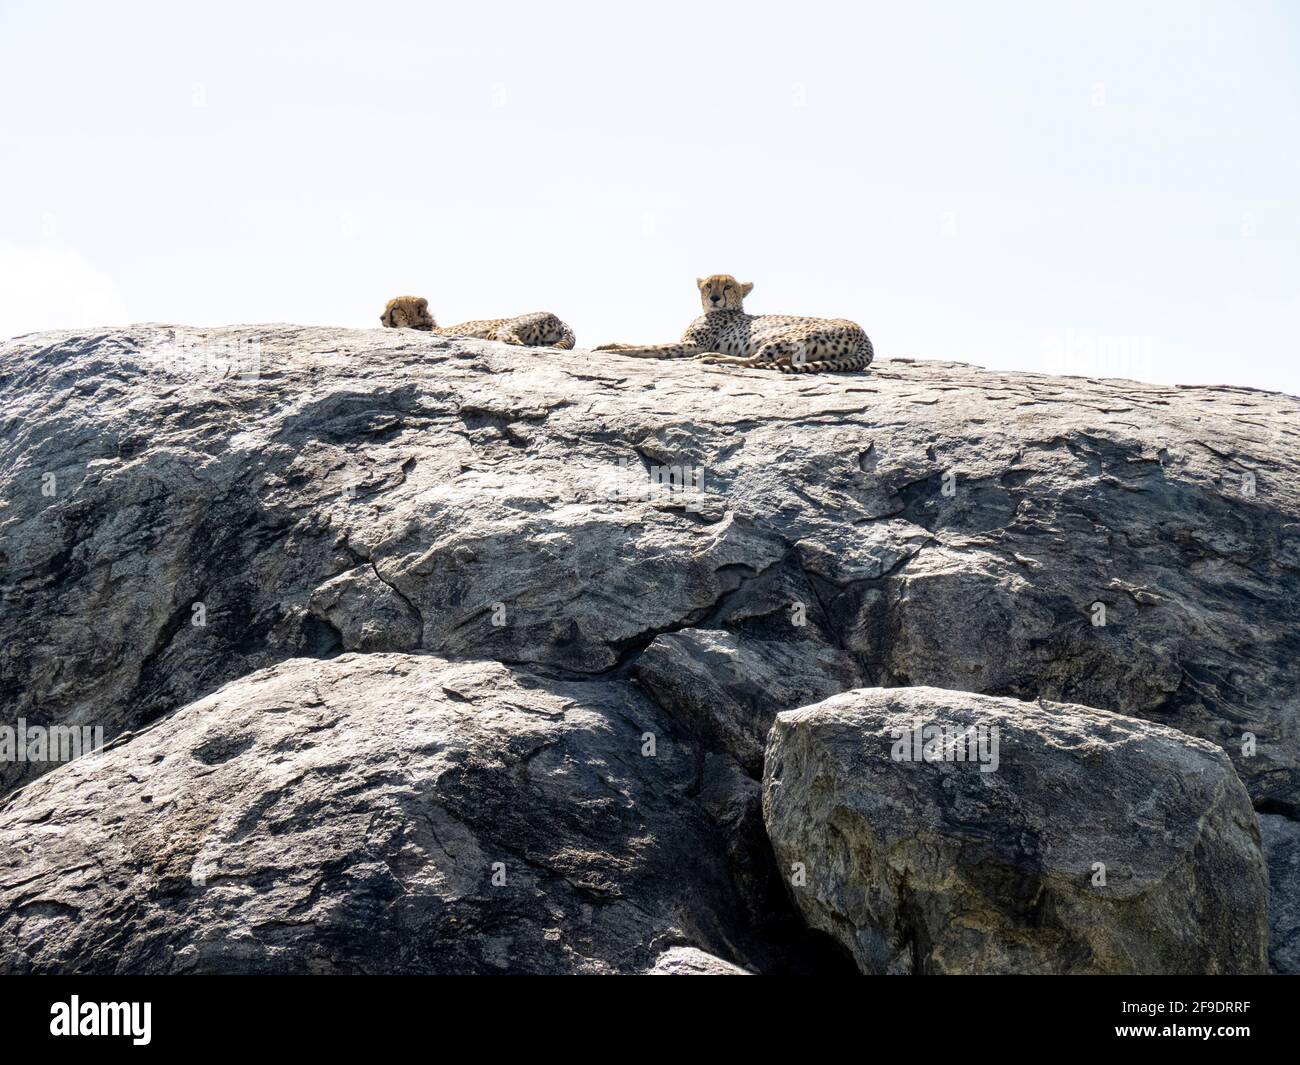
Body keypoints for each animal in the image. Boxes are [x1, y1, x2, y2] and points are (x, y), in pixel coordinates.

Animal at [593, 275, 872, 373]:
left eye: (728, 286)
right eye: (709, 285)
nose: (715, 298)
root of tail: (863, 334)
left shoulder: (691, 345)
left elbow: (648, 348)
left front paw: (613, 351)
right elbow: (637, 342)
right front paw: (606, 345)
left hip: (787, 337)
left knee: (755, 360)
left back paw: (713, 358)